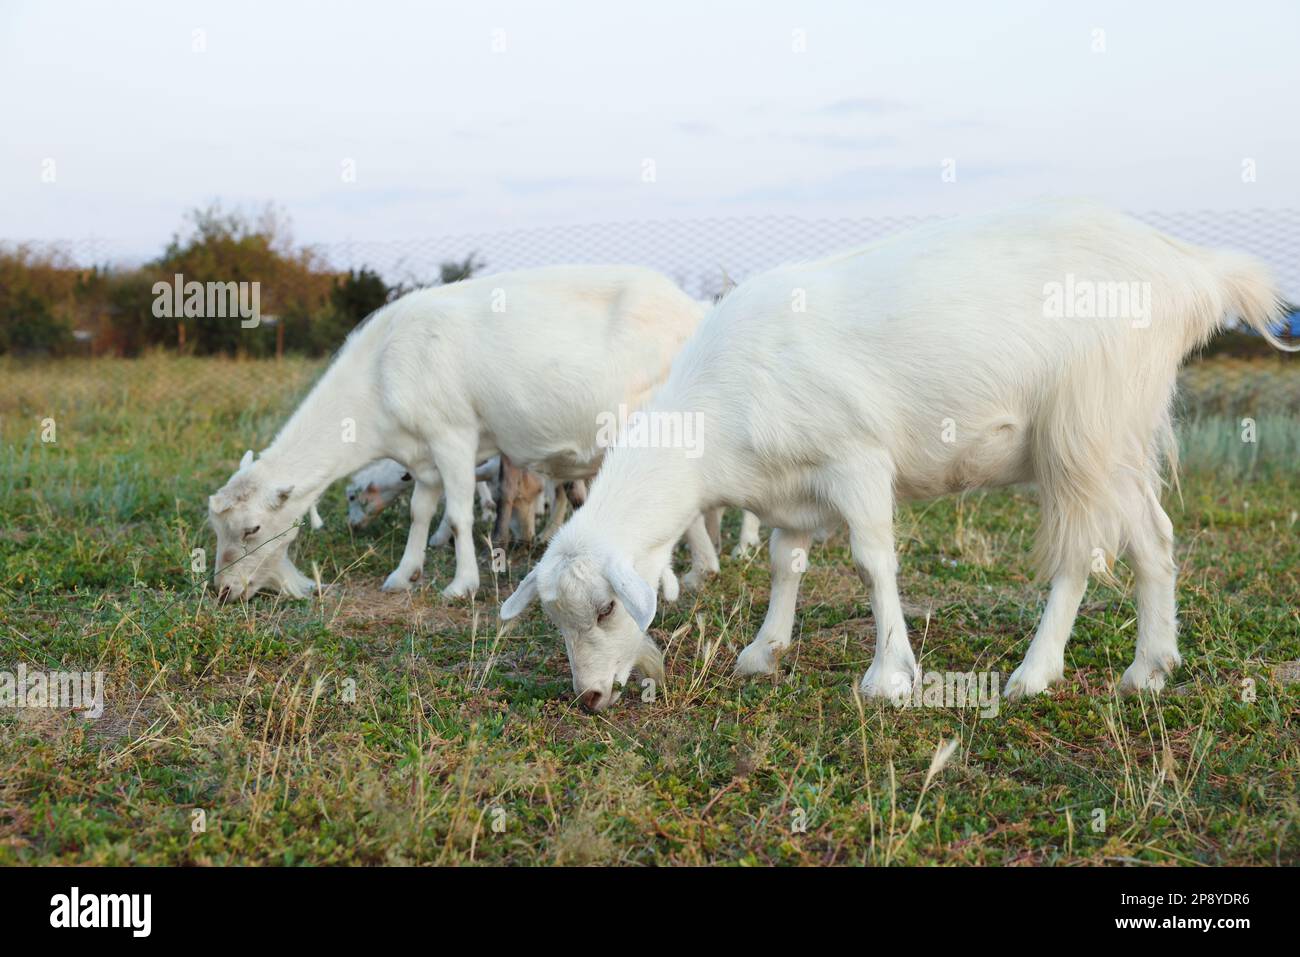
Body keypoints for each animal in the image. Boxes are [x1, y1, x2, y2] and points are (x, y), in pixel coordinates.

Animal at [208, 265, 712, 601]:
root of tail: (696, 309)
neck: (379, 376)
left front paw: (462, 584)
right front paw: (403, 574)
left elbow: (458, 515)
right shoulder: (423, 454)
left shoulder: (453, 435)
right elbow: (419, 511)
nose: (223, 590)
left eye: (252, 528)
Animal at [501, 201, 1296, 711]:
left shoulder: (857, 461)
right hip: (1122, 433)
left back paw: (1036, 673)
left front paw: (889, 676)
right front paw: (764, 651)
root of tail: (1191, 273)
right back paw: (1149, 668)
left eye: (608, 607)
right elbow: (785, 563)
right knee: (1154, 537)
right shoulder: (793, 485)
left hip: (1082, 429)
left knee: (1080, 554)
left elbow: (872, 562)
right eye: (556, 619)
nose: (590, 698)